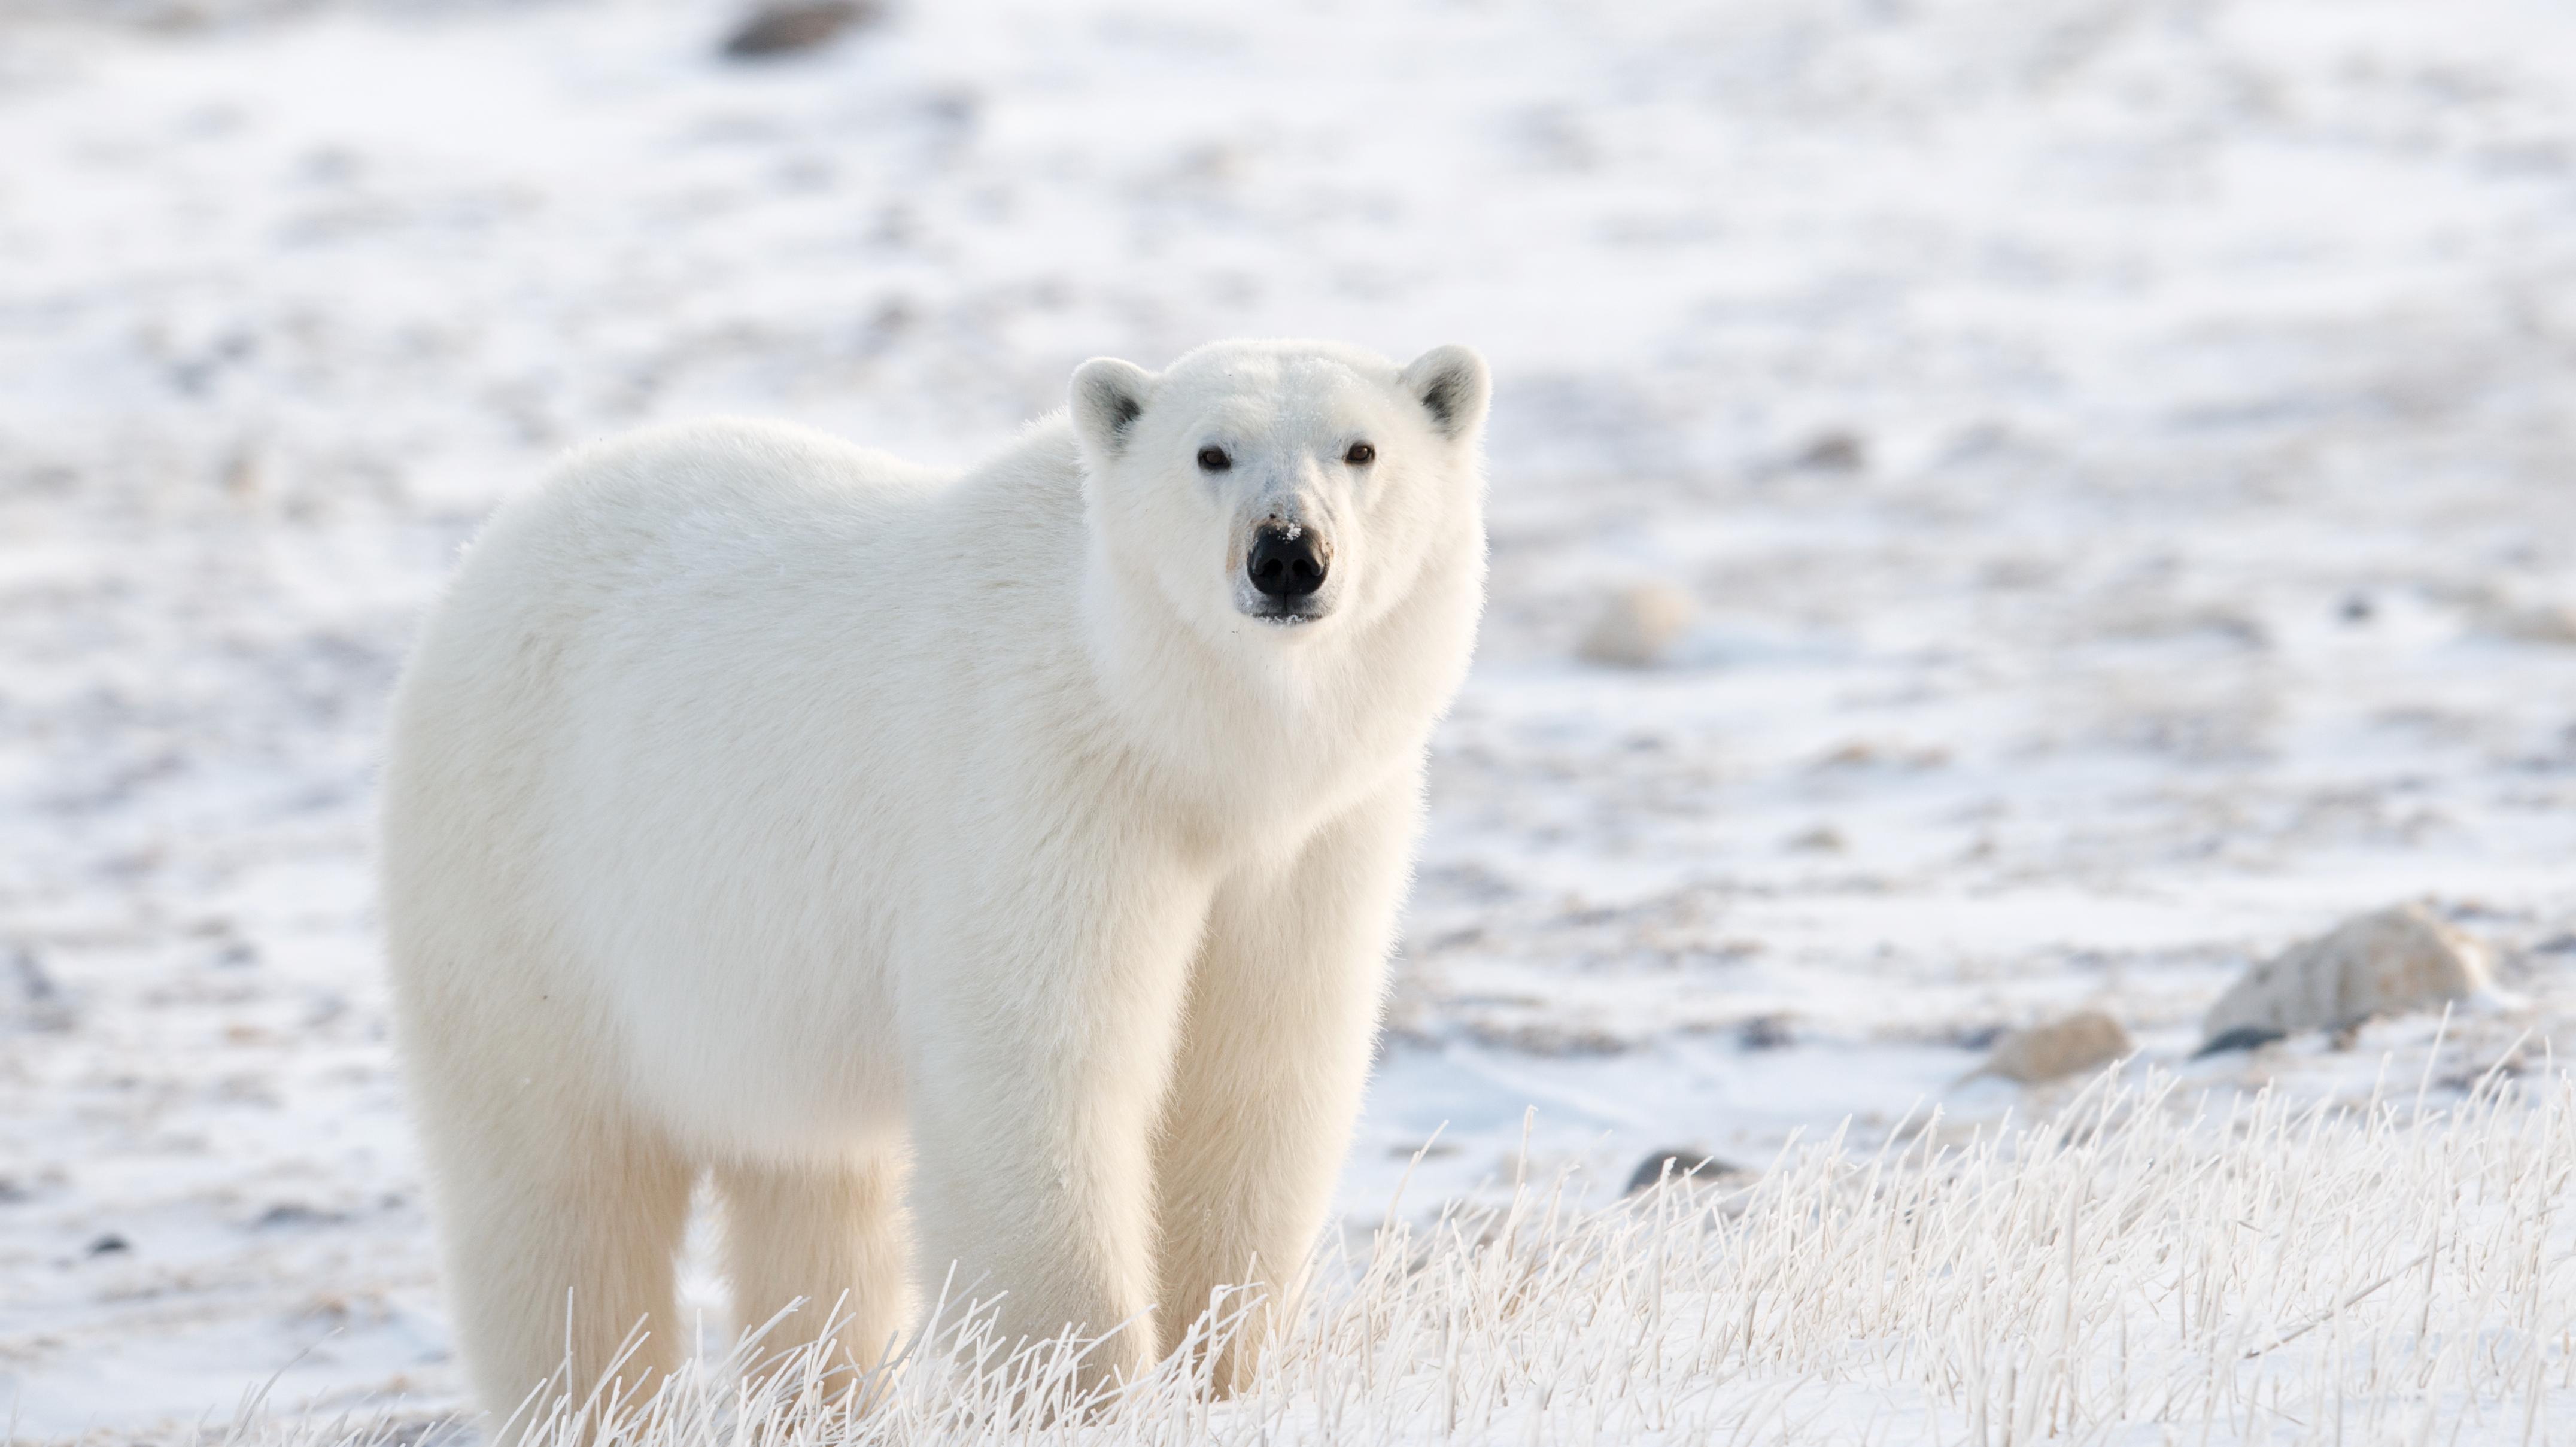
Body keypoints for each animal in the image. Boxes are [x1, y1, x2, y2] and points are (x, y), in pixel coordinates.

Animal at [378, 338, 1491, 1425]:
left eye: (1360, 449)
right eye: (1210, 452)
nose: (1288, 553)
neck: (1182, 743)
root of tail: (495, 543)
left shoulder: (1309, 843)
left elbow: (1253, 1079)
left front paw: (1221, 1373)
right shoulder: (1041, 785)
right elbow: (1038, 1075)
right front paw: (1085, 1391)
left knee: (812, 1198)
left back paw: (822, 1400)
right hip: (527, 895)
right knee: (562, 1195)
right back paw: (591, 1398)